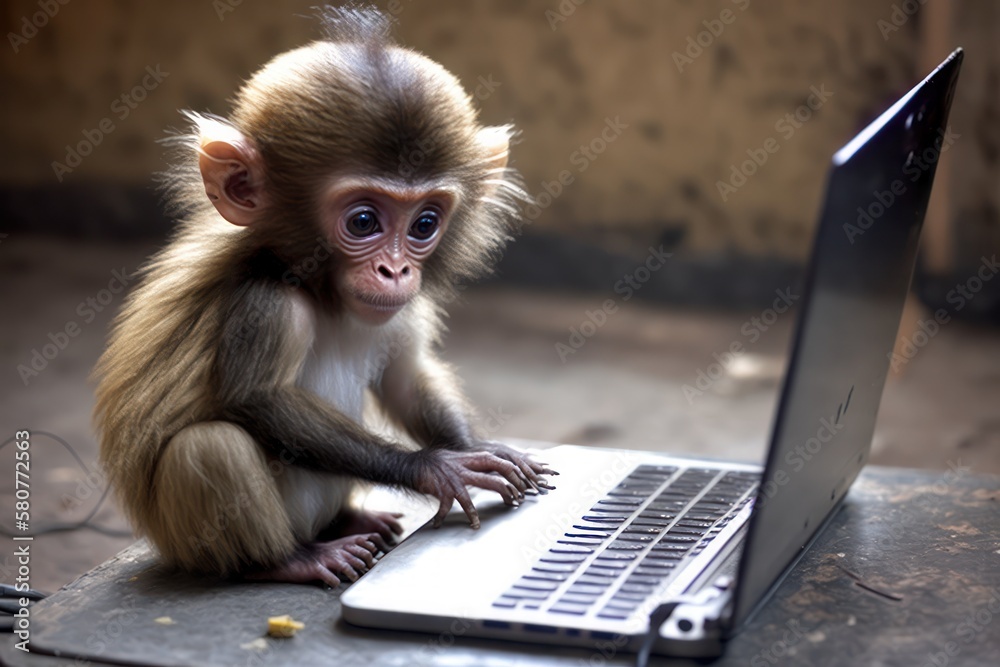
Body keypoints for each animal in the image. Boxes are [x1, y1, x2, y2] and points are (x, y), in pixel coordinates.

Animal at [92, 6, 555, 587]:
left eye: (425, 224)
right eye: (362, 222)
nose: (395, 269)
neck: (327, 296)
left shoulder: (404, 311)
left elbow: (405, 378)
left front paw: (477, 449)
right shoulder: (266, 301)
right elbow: (257, 400)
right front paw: (433, 466)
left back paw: (353, 520)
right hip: (192, 545)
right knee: (211, 445)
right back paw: (293, 560)